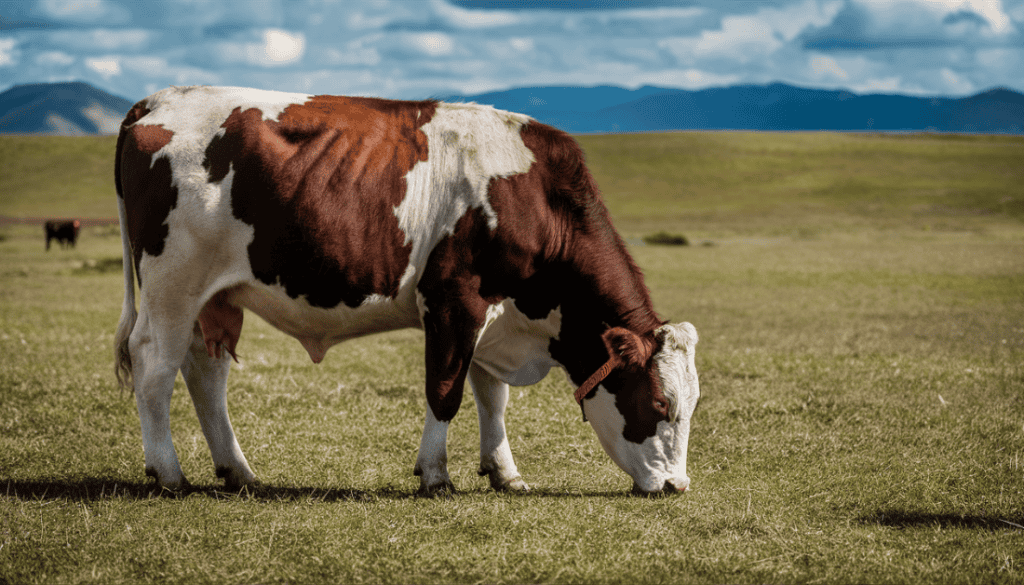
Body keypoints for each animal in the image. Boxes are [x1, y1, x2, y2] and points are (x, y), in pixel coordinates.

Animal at [113, 85, 700, 495]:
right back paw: (168, 473)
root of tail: (158, 100)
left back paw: (239, 471)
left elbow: (493, 397)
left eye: (692, 402)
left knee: (204, 373)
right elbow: (446, 391)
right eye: (660, 401)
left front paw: (504, 472)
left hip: (214, 297)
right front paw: (436, 475)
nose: (677, 486)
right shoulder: (454, 301)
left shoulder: (493, 318)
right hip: (172, 285)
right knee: (155, 367)